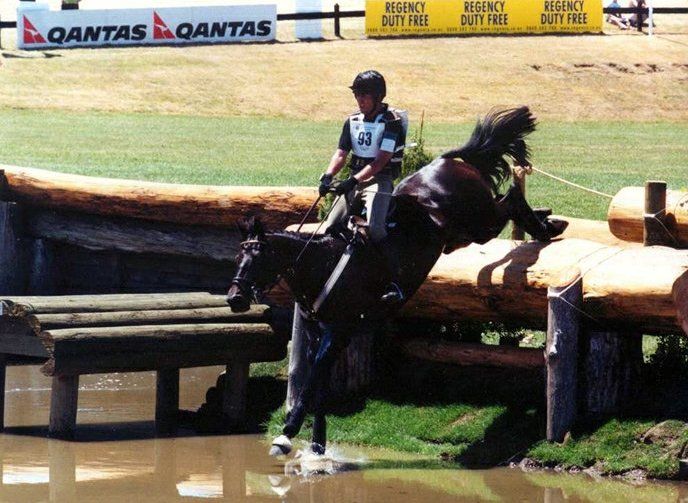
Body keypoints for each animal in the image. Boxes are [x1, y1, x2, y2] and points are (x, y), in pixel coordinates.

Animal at [226, 106, 568, 457]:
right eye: (237, 258)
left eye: (258, 260)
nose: (235, 298)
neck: (322, 262)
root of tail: (446, 161)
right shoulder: (322, 332)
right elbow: (318, 384)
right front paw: (317, 443)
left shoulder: (339, 330)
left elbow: (313, 380)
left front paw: (287, 434)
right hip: (462, 234)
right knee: (506, 202)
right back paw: (547, 223)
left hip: (479, 221)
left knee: (510, 199)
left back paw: (548, 227)